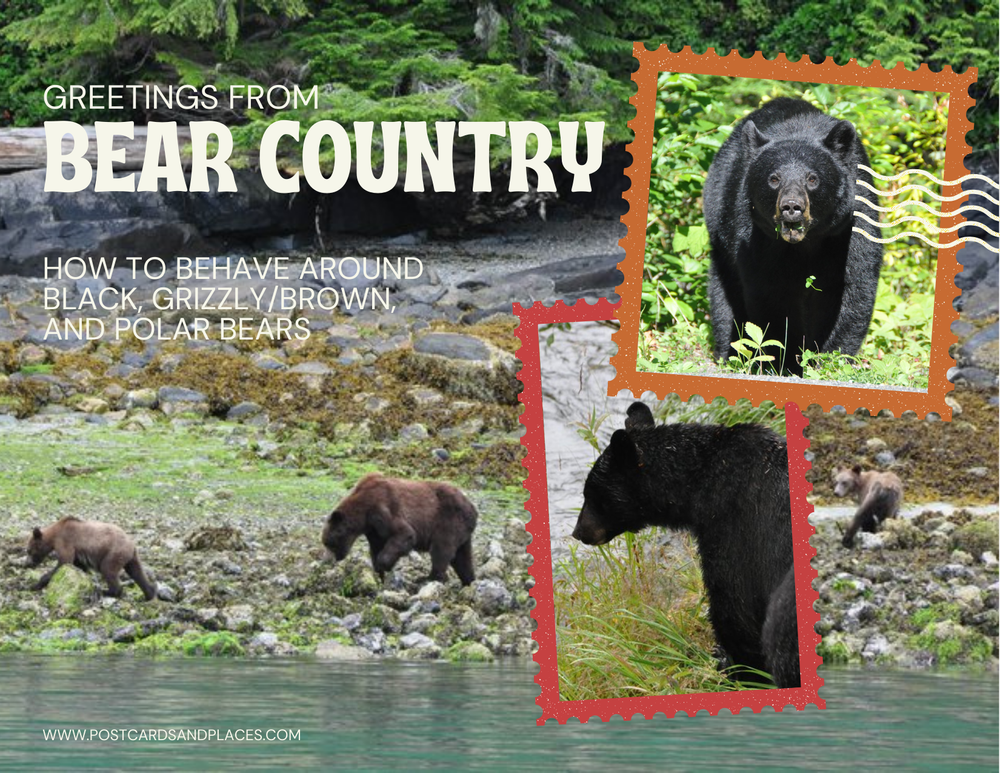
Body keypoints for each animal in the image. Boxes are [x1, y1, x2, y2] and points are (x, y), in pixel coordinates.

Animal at [26, 517, 157, 601]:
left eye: (28, 550)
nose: (27, 564)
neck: (54, 536)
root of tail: (132, 544)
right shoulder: (77, 552)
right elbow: (78, 565)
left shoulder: (66, 541)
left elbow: (64, 562)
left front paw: (35, 585)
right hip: (131, 557)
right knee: (137, 572)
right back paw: (149, 593)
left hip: (114, 553)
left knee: (108, 570)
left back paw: (107, 591)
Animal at [322, 472, 478, 586]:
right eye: (326, 543)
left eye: (329, 543)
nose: (327, 560)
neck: (363, 512)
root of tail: (472, 508)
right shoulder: (372, 529)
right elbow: (376, 547)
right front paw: (379, 575)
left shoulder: (381, 510)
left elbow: (405, 534)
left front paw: (384, 565)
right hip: (462, 531)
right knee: (462, 558)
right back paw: (469, 581)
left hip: (449, 521)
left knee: (441, 549)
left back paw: (428, 578)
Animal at [571, 401, 799, 688]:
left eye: (591, 494)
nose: (578, 531)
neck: (702, 483)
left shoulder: (734, 529)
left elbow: (735, 607)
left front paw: (736, 668)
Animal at [702, 96, 883, 375]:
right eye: (774, 178)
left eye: (812, 178)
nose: (791, 206)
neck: (807, 243)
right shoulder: (756, 236)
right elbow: (771, 297)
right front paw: (784, 363)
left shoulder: (851, 227)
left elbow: (852, 291)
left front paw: (831, 360)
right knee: (725, 296)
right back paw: (730, 354)